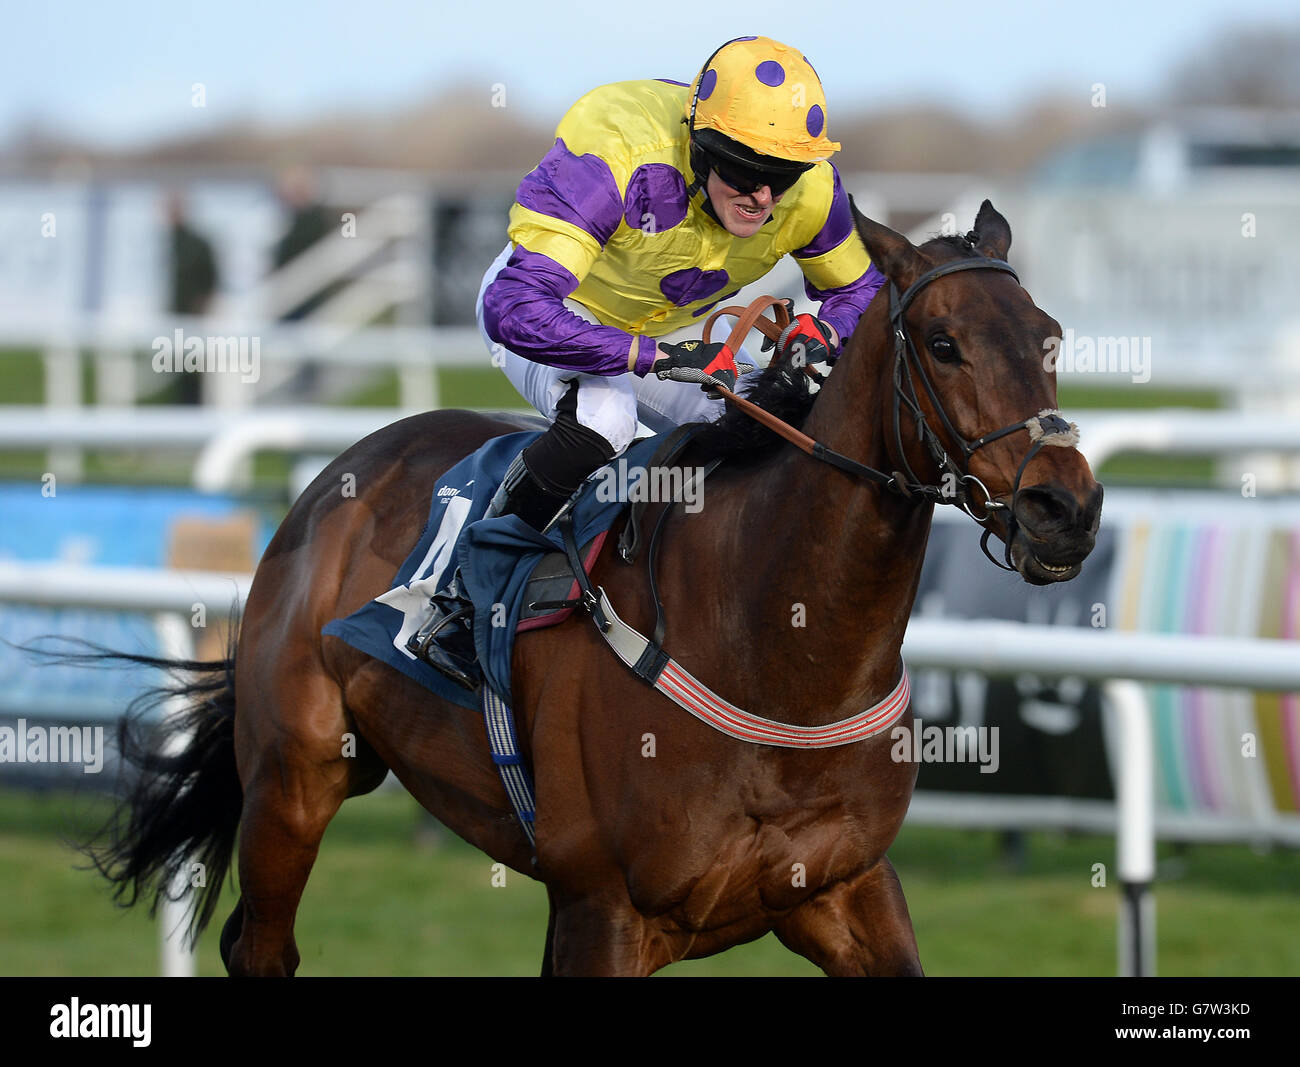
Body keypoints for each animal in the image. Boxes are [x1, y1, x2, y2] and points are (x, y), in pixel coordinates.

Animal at [86, 200, 1102, 976]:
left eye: (1051, 339)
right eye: (943, 342)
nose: (1066, 507)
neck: (780, 648)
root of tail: (335, 475)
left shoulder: (844, 886)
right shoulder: (606, 908)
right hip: (294, 777)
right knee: (263, 945)